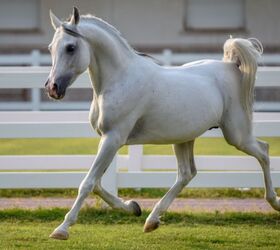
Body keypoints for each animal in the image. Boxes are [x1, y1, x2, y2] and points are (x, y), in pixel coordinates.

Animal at [44, 6, 278, 239]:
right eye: (50, 48)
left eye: (71, 47)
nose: (52, 88)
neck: (120, 79)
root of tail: (231, 66)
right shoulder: (108, 140)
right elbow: (98, 184)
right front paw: (132, 207)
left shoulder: (113, 139)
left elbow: (88, 183)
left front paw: (61, 229)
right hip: (184, 138)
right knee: (186, 174)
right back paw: (151, 220)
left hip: (237, 135)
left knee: (264, 151)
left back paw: (275, 202)